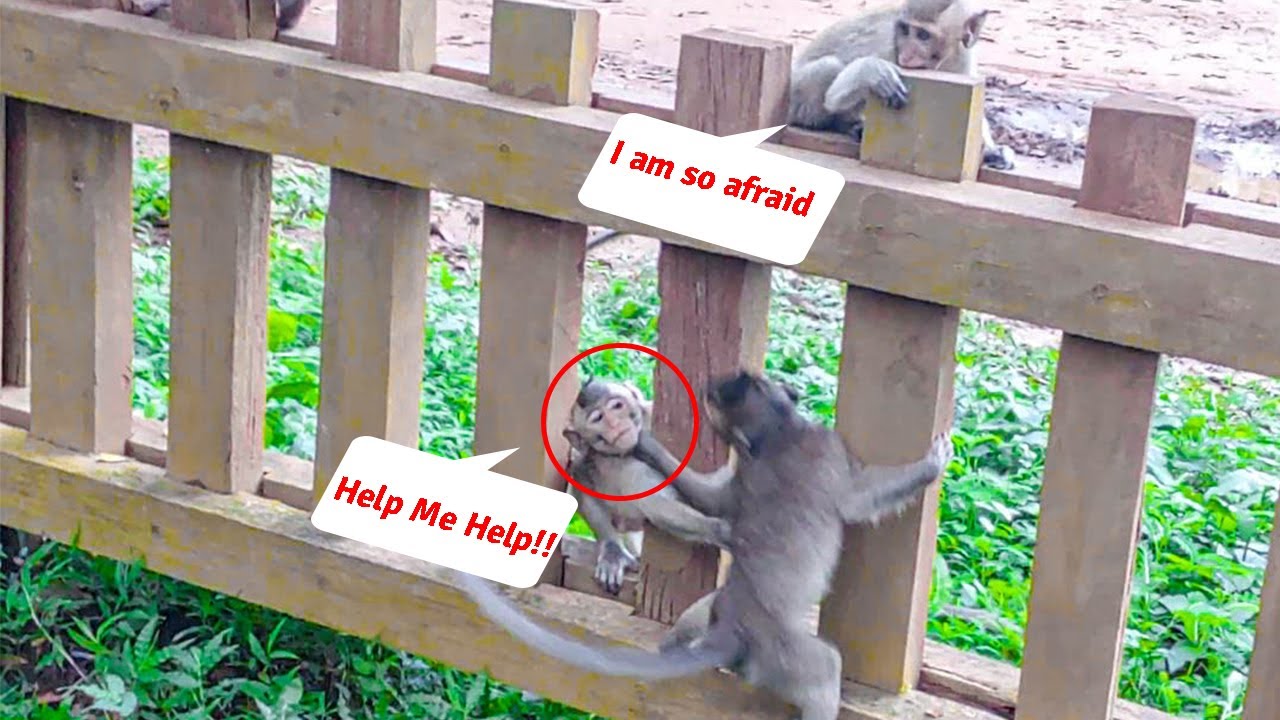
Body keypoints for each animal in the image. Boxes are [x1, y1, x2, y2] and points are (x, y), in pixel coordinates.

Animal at [561, 377, 735, 595]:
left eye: (617, 406)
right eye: (598, 418)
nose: (615, 424)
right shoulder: (616, 462)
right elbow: (656, 502)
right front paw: (721, 531)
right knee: (579, 469)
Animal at [789, 0, 1016, 171]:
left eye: (923, 36)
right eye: (906, 31)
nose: (906, 54)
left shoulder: (964, 56)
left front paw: (993, 151)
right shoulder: (887, 45)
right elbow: (834, 96)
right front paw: (872, 71)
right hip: (797, 99)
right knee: (829, 68)